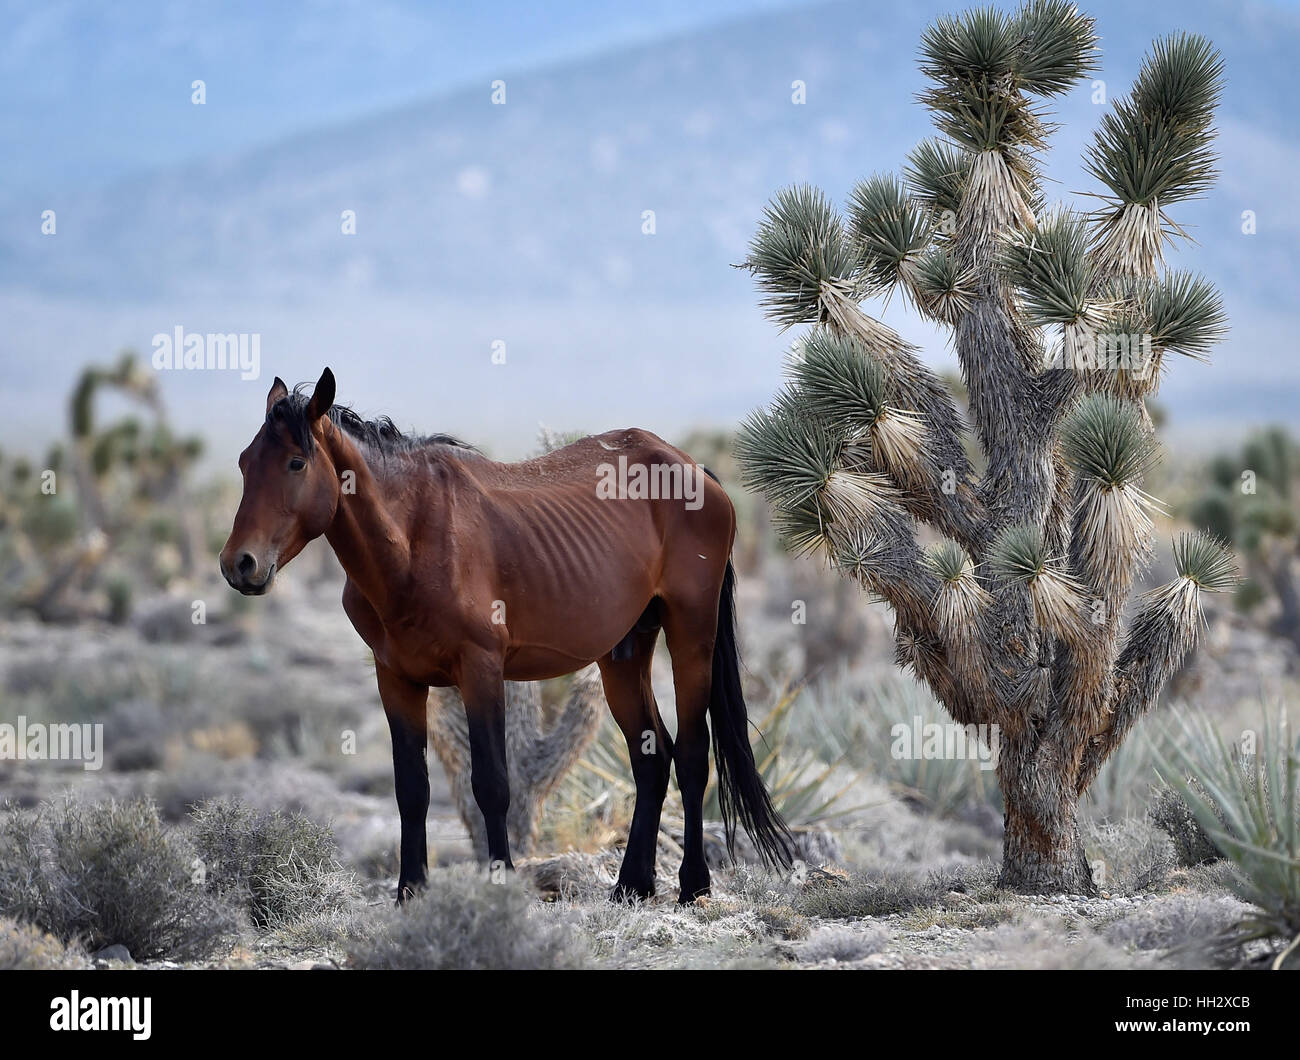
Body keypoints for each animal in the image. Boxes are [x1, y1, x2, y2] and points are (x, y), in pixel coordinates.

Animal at [219, 368, 793, 904]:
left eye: (296, 463)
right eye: (245, 462)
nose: (239, 565)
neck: (414, 539)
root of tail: (696, 471)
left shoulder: (480, 671)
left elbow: (492, 784)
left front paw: (500, 886)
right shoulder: (397, 679)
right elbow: (412, 789)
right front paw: (410, 892)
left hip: (691, 633)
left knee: (694, 755)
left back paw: (693, 884)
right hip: (624, 652)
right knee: (652, 757)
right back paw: (632, 885)